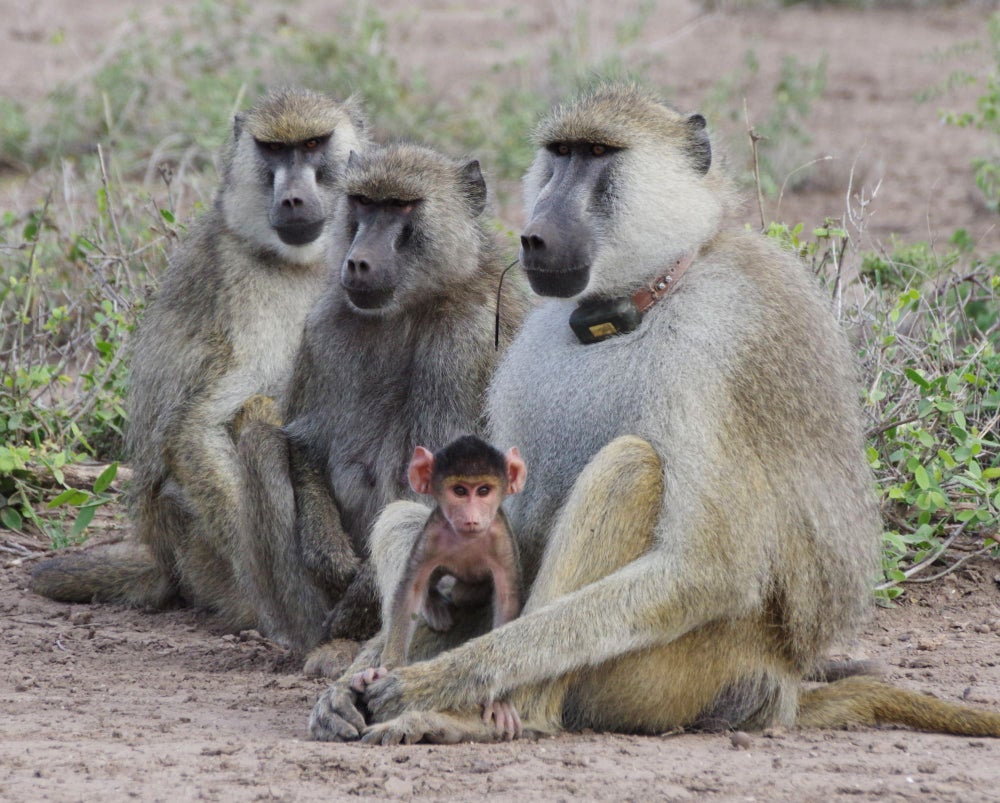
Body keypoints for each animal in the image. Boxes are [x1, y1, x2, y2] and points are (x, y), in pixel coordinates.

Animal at [31, 89, 369, 630]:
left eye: (313, 144)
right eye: (273, 150)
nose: (293, 198)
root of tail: (162, 555)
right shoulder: (245, 295)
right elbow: (197, 428)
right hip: (194, 545)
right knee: (255, 412)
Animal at [233, 143, 532, 657]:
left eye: (401, 207)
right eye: (363, 203)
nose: (357, 262)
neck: (407, 309)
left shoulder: (469, 343)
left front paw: (361, 596)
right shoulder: (324, 326)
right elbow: (305, 445)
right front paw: (329, 555)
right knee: (259, 436)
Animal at [309, 83, 1000, 744]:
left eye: (598, 155)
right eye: (559, 154)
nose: (534, 232)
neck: (644, 298)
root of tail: (780, 683)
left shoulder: (716, 349)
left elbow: (705, 570)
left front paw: (436, 681)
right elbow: (494, 519)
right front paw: (358, 676)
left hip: (676, 673)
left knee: (632, 468)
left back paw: (496, 715)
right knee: (409, 517)